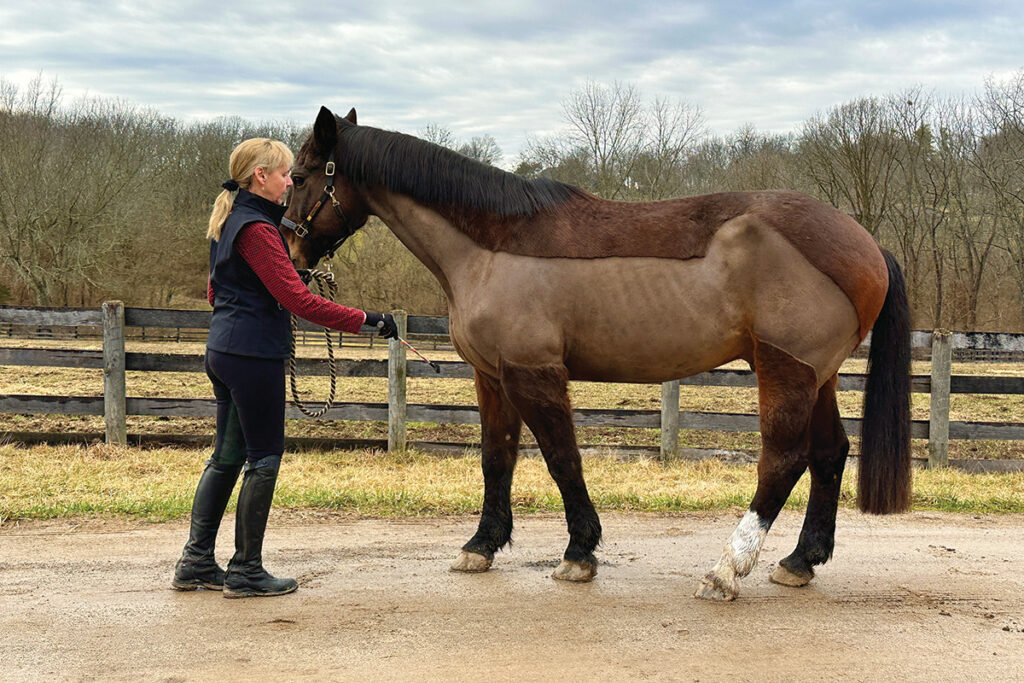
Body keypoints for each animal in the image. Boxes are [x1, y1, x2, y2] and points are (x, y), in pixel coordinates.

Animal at [281, 106, 912, 601]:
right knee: (829, 454)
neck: (490, 247)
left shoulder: (533, 374)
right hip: (816, 375)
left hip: (785, 369)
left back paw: (726, 571)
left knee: (783, 459)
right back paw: (799, 562)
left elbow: (562, 459)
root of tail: (866, 244)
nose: (290, 252)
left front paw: (579, 553)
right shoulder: (491, 376)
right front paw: (481, 545)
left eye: (300, 174)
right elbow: (496, 457)